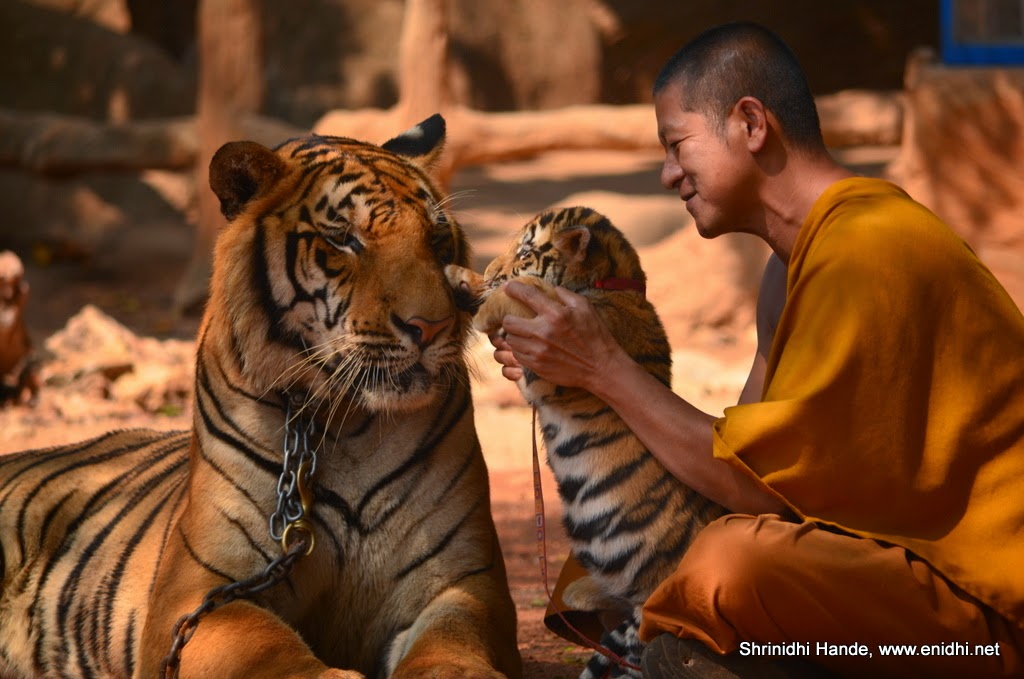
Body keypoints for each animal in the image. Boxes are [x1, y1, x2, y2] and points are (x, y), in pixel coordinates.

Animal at [0, 114, 522, 679]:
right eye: (345, 239)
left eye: (436, 237)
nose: (431, 326)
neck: (345, 422)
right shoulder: (201, 593)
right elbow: (266, 650)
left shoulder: (464, 581)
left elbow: (453, 642)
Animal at [446, 206, 727, 679]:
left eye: (525, 253)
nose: (490, 271)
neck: (612, 280)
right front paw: (460, 276)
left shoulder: (552, 356)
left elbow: (528, 291)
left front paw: (485, 303)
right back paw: (581, 591)